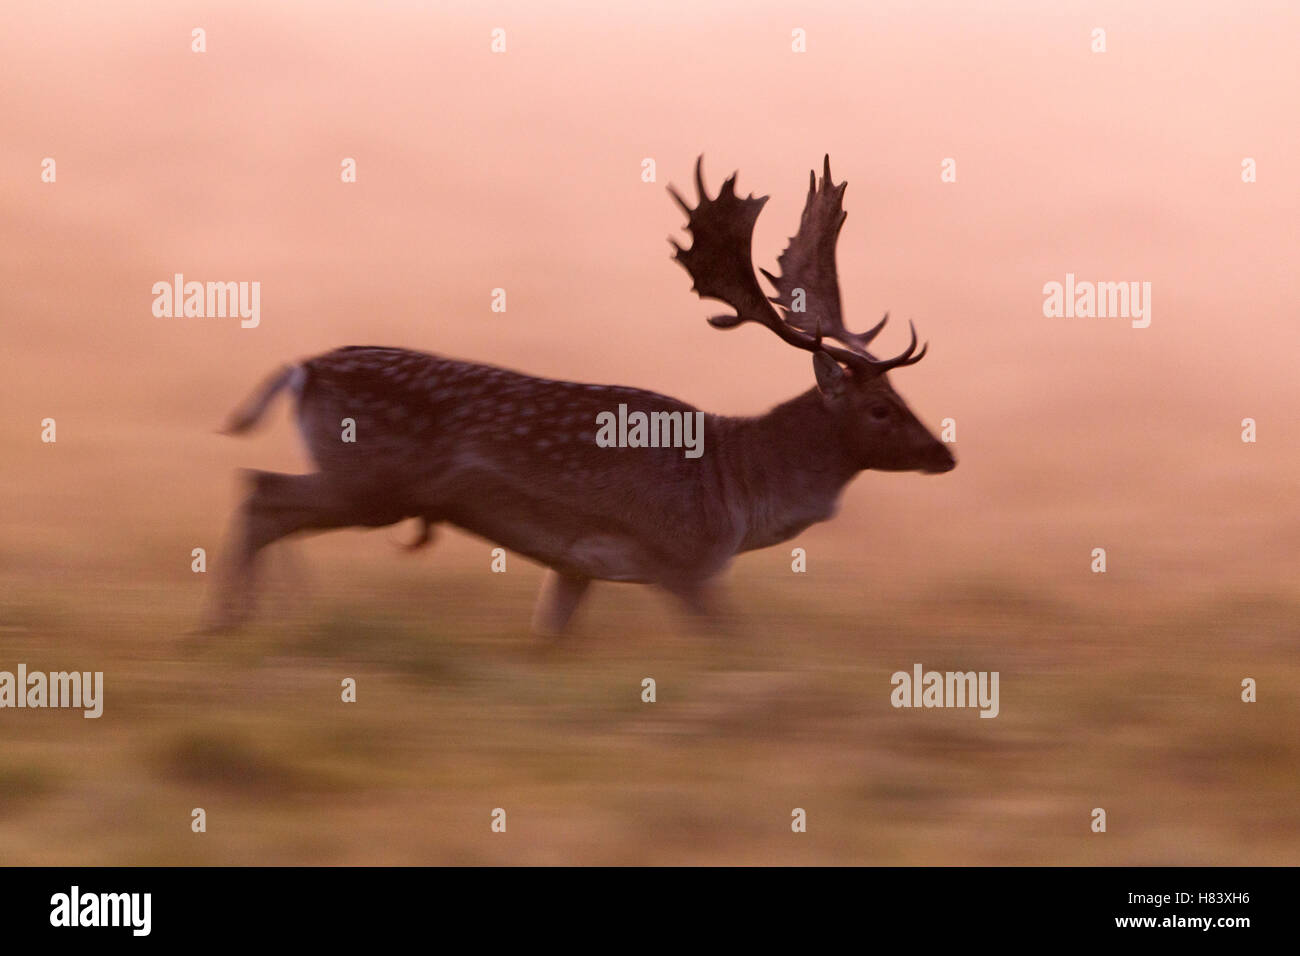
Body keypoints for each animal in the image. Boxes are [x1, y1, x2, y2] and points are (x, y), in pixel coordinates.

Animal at [205, 156, 955, 636]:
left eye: (900, 392)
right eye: (880, 408)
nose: (943, 454)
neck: (738, 489)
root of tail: (302, 368)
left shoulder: (575, 566)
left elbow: (548, 637)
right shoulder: (682, 560)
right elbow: (739, 643)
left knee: (256, 488)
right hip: (369, 481)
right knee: (260, 491)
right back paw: (226, 624)